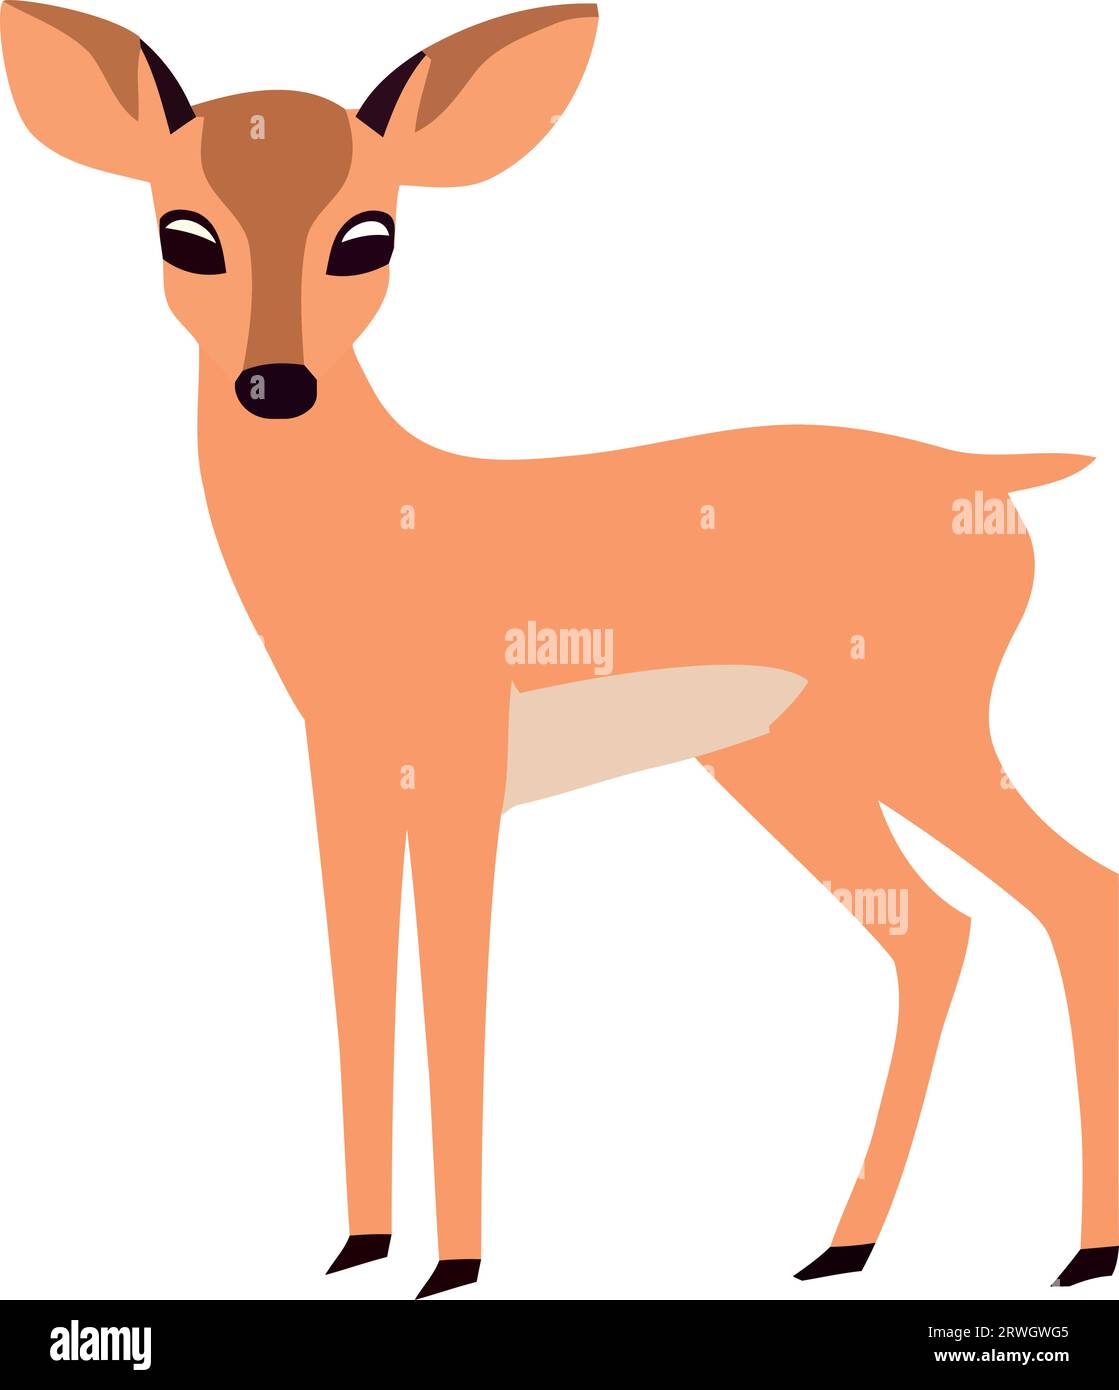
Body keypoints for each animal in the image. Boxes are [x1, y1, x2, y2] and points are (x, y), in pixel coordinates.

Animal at [2, 0, 1116, 1300]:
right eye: (185, 230)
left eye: (366, 234)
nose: (275, 382)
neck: (382, 521)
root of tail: (990, 479)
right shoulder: (347, 777)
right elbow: (359, 975)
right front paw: (361, 1244)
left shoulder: (464, 776)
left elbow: (456, 984)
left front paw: (454, 1264)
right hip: (790, 766)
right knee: (940, 932)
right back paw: (842, 1246)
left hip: (914, 743)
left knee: (1074, 898)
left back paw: (1076, 1251)